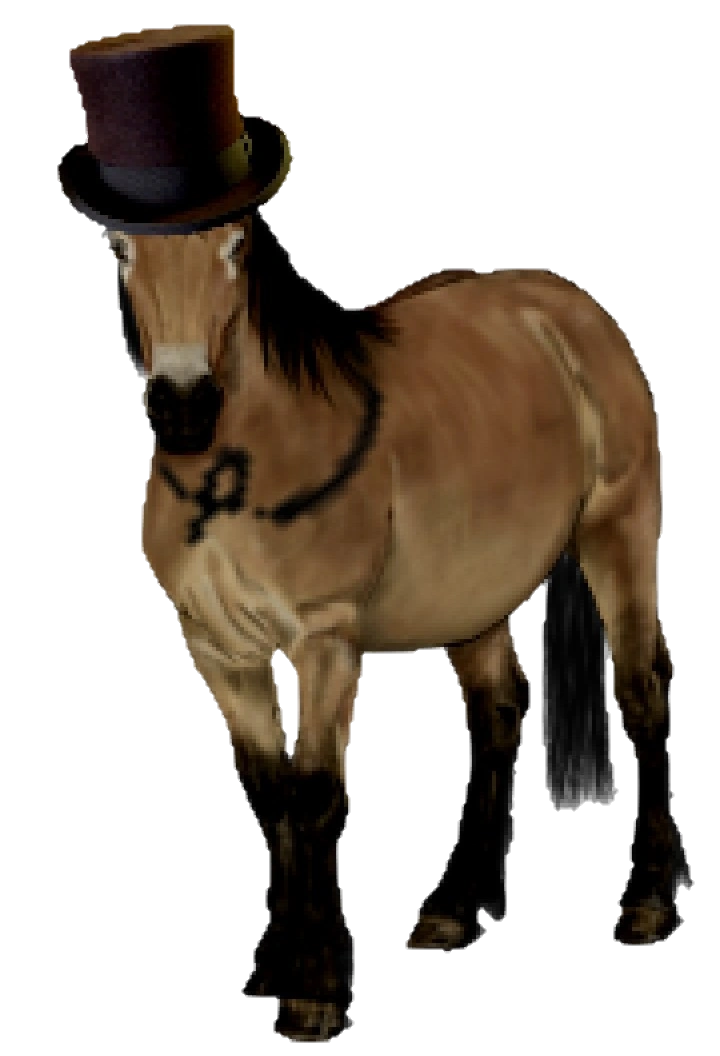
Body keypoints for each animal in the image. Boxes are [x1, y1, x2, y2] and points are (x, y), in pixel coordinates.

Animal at [110, 212, 684, 1041]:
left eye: (235, 246)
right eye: (120, 249)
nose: (184, 408)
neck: (245, 469)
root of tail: (568, 309)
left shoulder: (325, 641)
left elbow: (316, 796)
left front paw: (315, 990)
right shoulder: (219, 649)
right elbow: (270, 796)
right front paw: (276, 962)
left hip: (619, 535)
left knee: (642, 693)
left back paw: (648, 902)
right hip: (473, 592)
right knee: (498, 712)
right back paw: (455, 907)